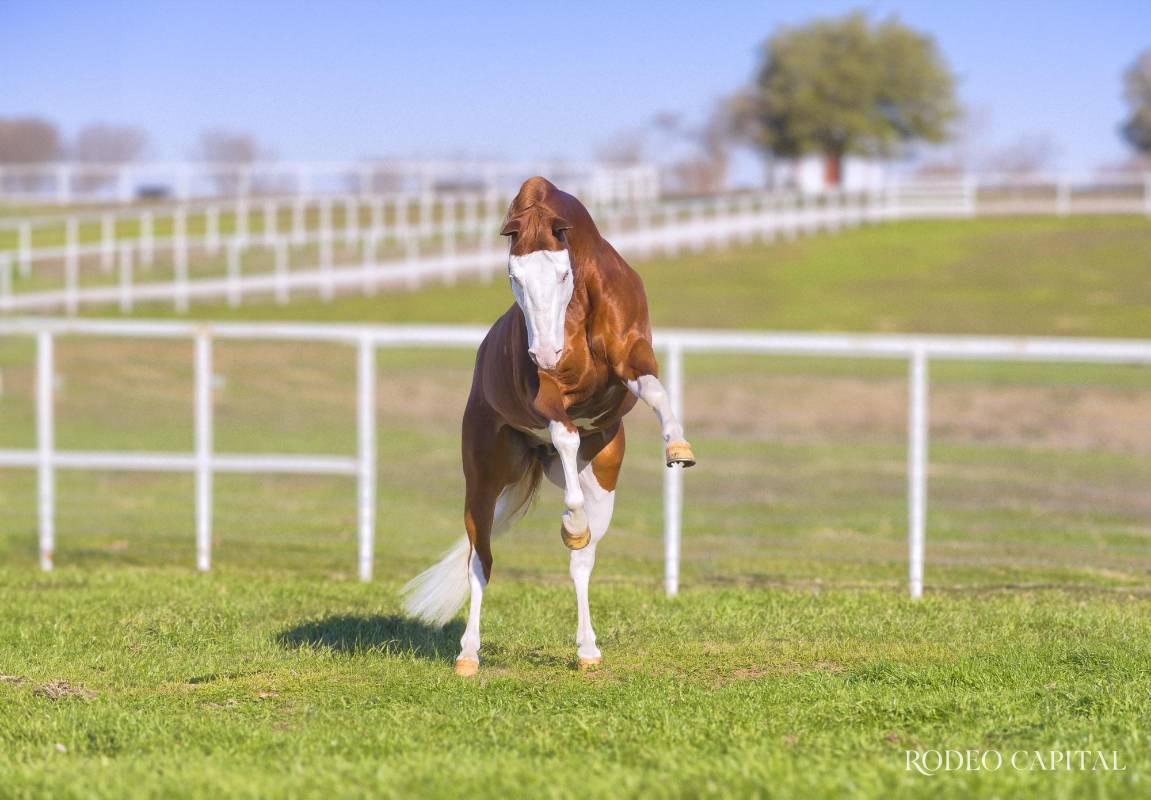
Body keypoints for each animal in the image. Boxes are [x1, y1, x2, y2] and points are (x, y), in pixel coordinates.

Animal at [401, 176, 695, 676]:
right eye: (514, 276)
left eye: (561, 274)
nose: (544, 354)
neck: (581, 304)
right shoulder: (547, 397)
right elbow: (565, 435)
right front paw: (571, 521)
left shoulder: (632, 358)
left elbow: (656, 393)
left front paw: (679, 449)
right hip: (482, 483)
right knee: (480, 564)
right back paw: (468, 656)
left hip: (602, 481)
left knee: (581, 563)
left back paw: (588, 651)